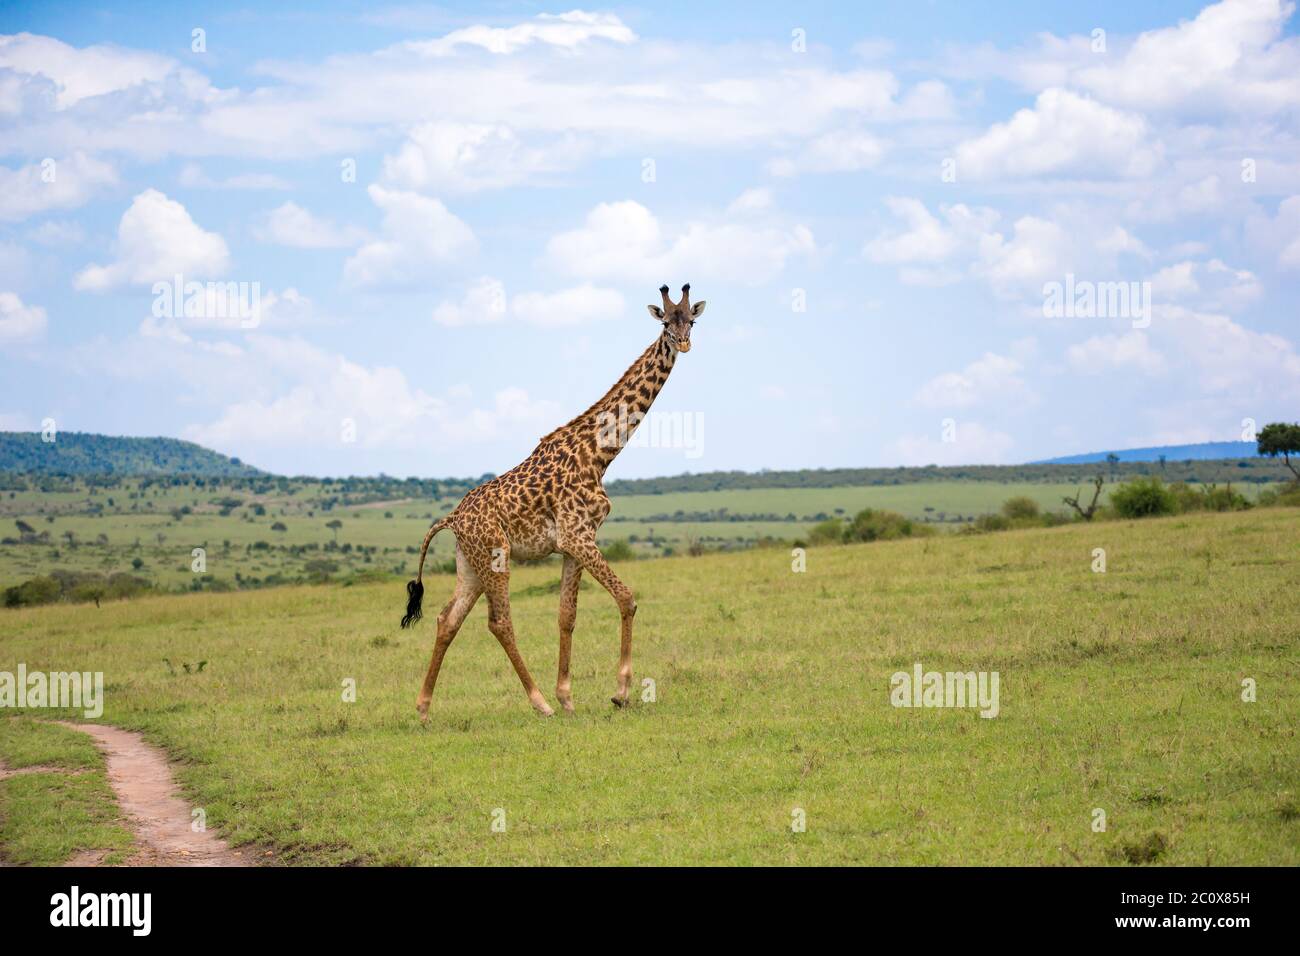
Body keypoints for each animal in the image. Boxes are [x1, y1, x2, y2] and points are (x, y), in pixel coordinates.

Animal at [401, 283, 706, 719]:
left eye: (691, 320)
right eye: (665, 323)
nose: (683, 343)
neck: (600, 452)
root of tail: (452, 519)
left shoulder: (572, 544)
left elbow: (567, 616)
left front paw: (568, 697)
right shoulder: (579, 536)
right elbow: (627, 598)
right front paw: (620, 692)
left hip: (469, 564)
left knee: (447, 619)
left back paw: (425, 709)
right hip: (495, 555)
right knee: (499, 621)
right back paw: (538, 702)